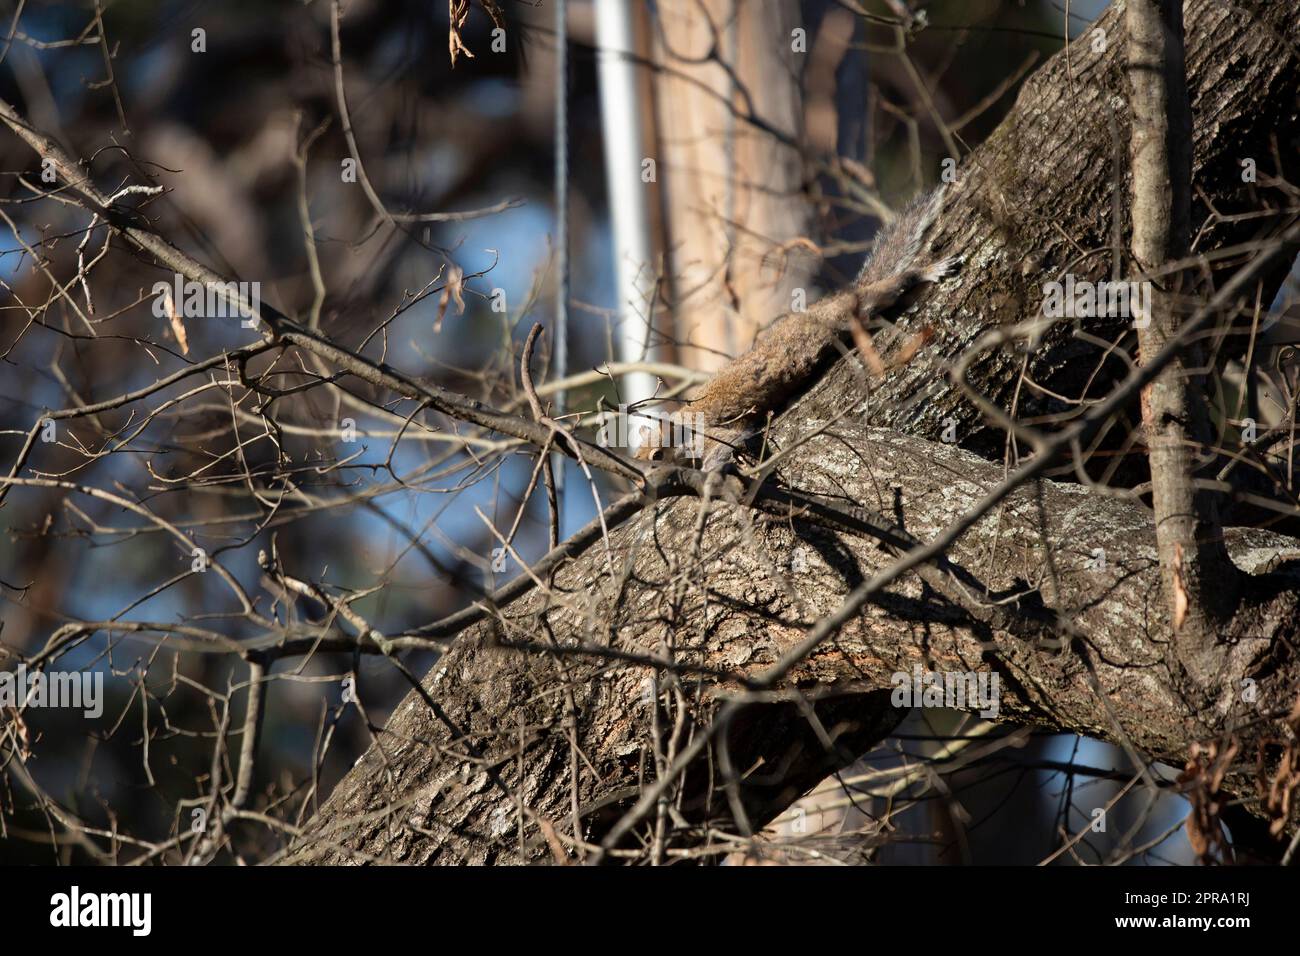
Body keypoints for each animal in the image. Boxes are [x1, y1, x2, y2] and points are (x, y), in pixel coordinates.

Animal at [635, 185, 960, 470]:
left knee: (889, 286)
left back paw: (926, 270)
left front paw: (712, 473)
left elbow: (727, 443)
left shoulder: (710, 434)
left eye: (655, 456)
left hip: (849, 310)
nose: (643, 483)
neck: (681, 426)